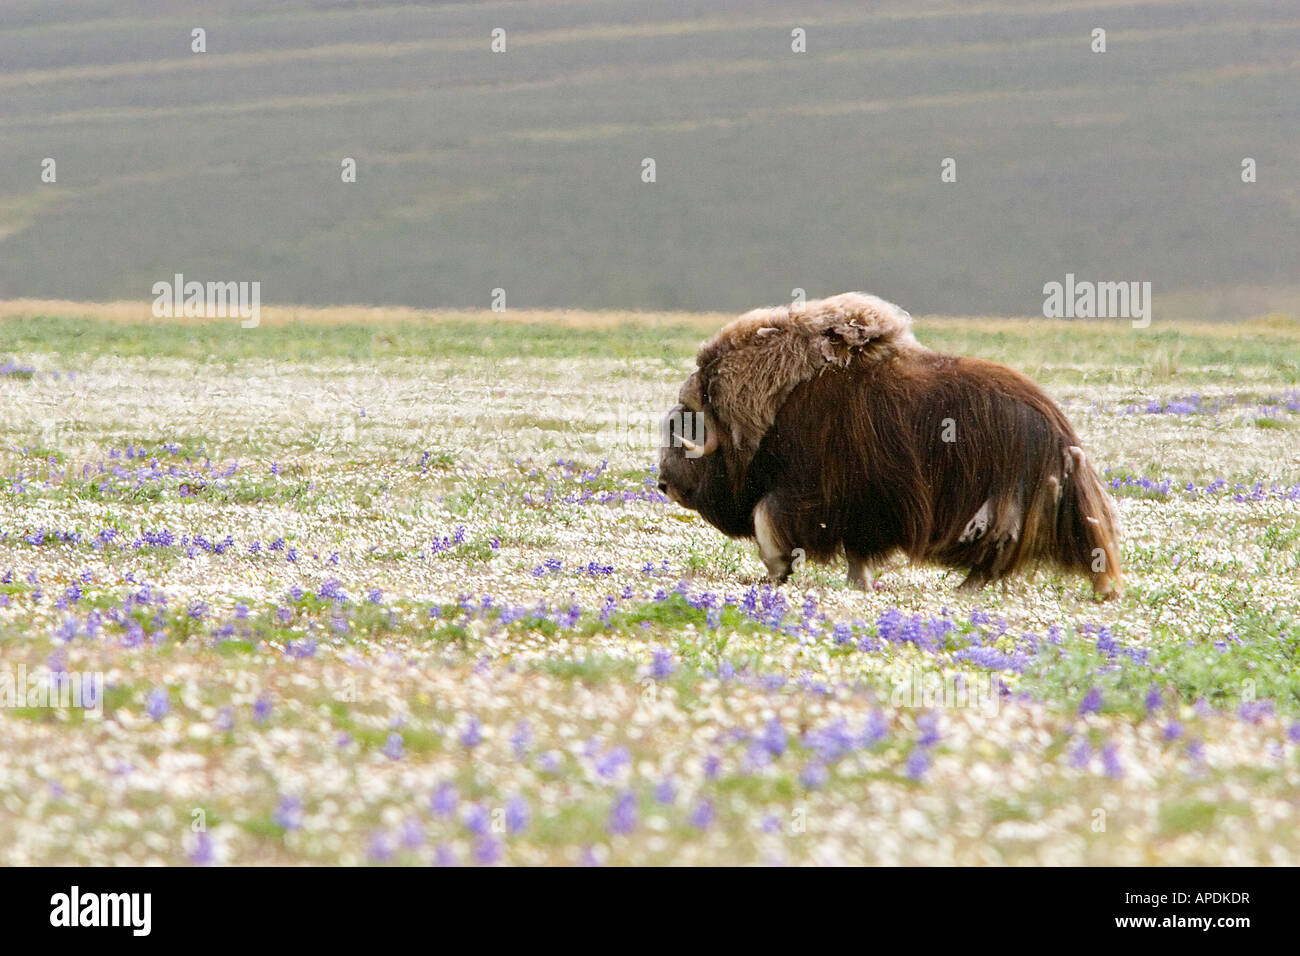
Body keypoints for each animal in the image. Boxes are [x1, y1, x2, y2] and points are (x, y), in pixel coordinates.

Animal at [657, 292, 1122, 599]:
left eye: (685, 423)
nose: (663, 483)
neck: (769, 406)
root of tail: (1063, 435)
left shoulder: (808, 491)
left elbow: (766, 519)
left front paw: (775, 570)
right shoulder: (862, 509)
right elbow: (856, 550)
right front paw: (857, 582)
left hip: (999, 500)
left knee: (995, 547)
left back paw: (967, 587)